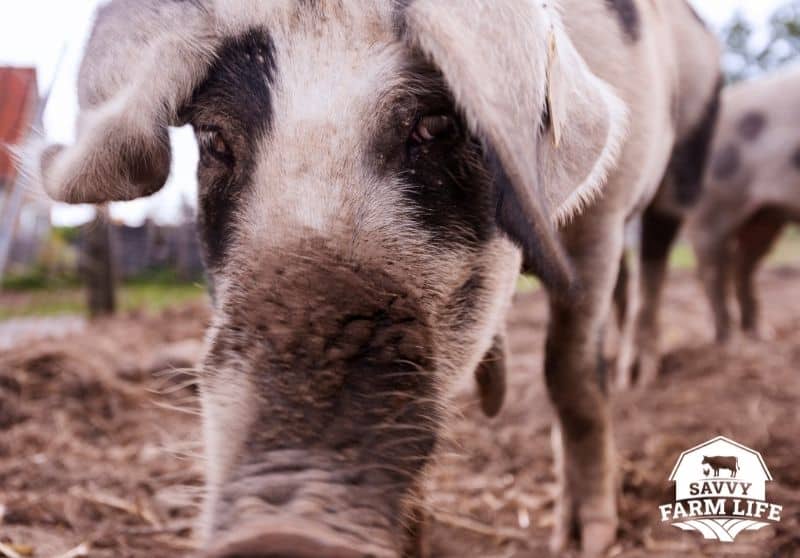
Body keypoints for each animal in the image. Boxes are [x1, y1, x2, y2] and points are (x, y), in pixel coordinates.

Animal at [35, 0, 721, 555]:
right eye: (212, 138)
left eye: (440, 123)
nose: (279, 534)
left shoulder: (603, 212)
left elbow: (570, 373)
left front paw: (583, 541)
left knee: (655, 256)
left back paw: (639, 376)